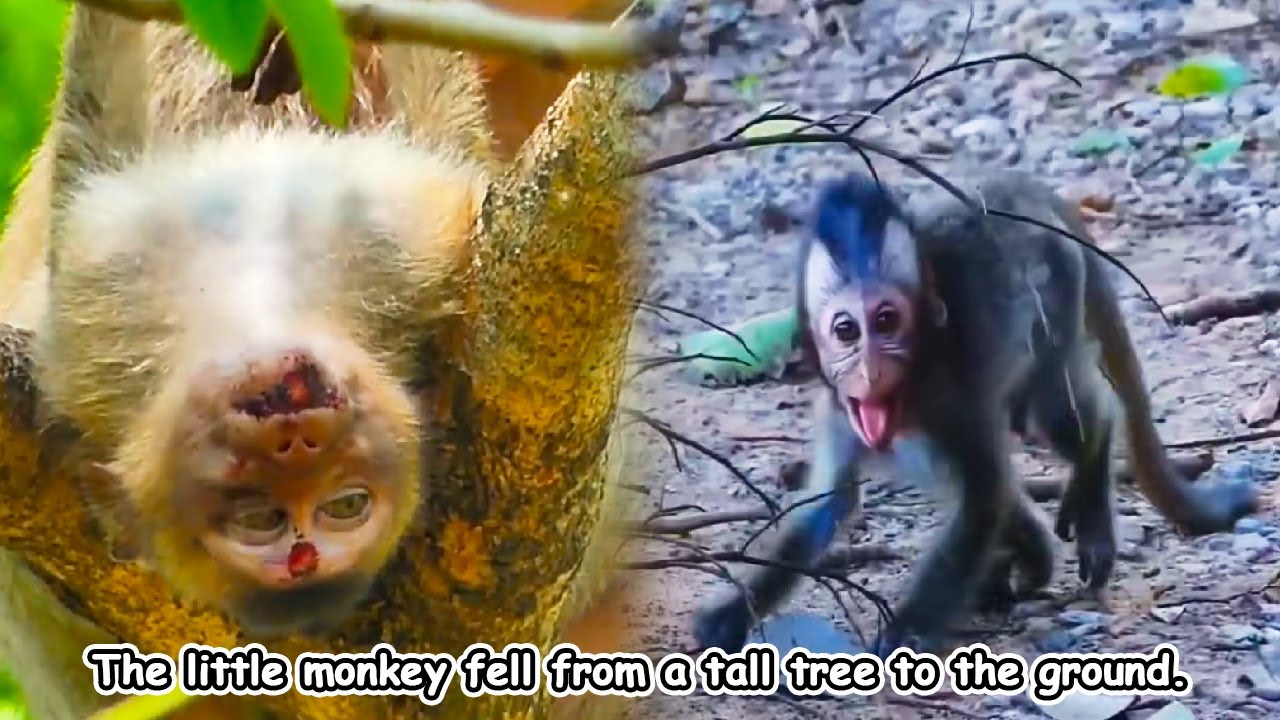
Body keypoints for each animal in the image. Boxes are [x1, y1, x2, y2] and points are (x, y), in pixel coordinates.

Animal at [693, 170, 1258, 656]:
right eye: (846, 331)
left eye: (887, 321)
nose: (871, 370)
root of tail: (1016, 185)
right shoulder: (836, 410)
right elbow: (826, 507)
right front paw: (737, 610)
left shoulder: (952, 401)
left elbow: (984, 495)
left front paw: (909, 630)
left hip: (1058, 290)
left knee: (1060, 412)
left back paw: (1091, 487)